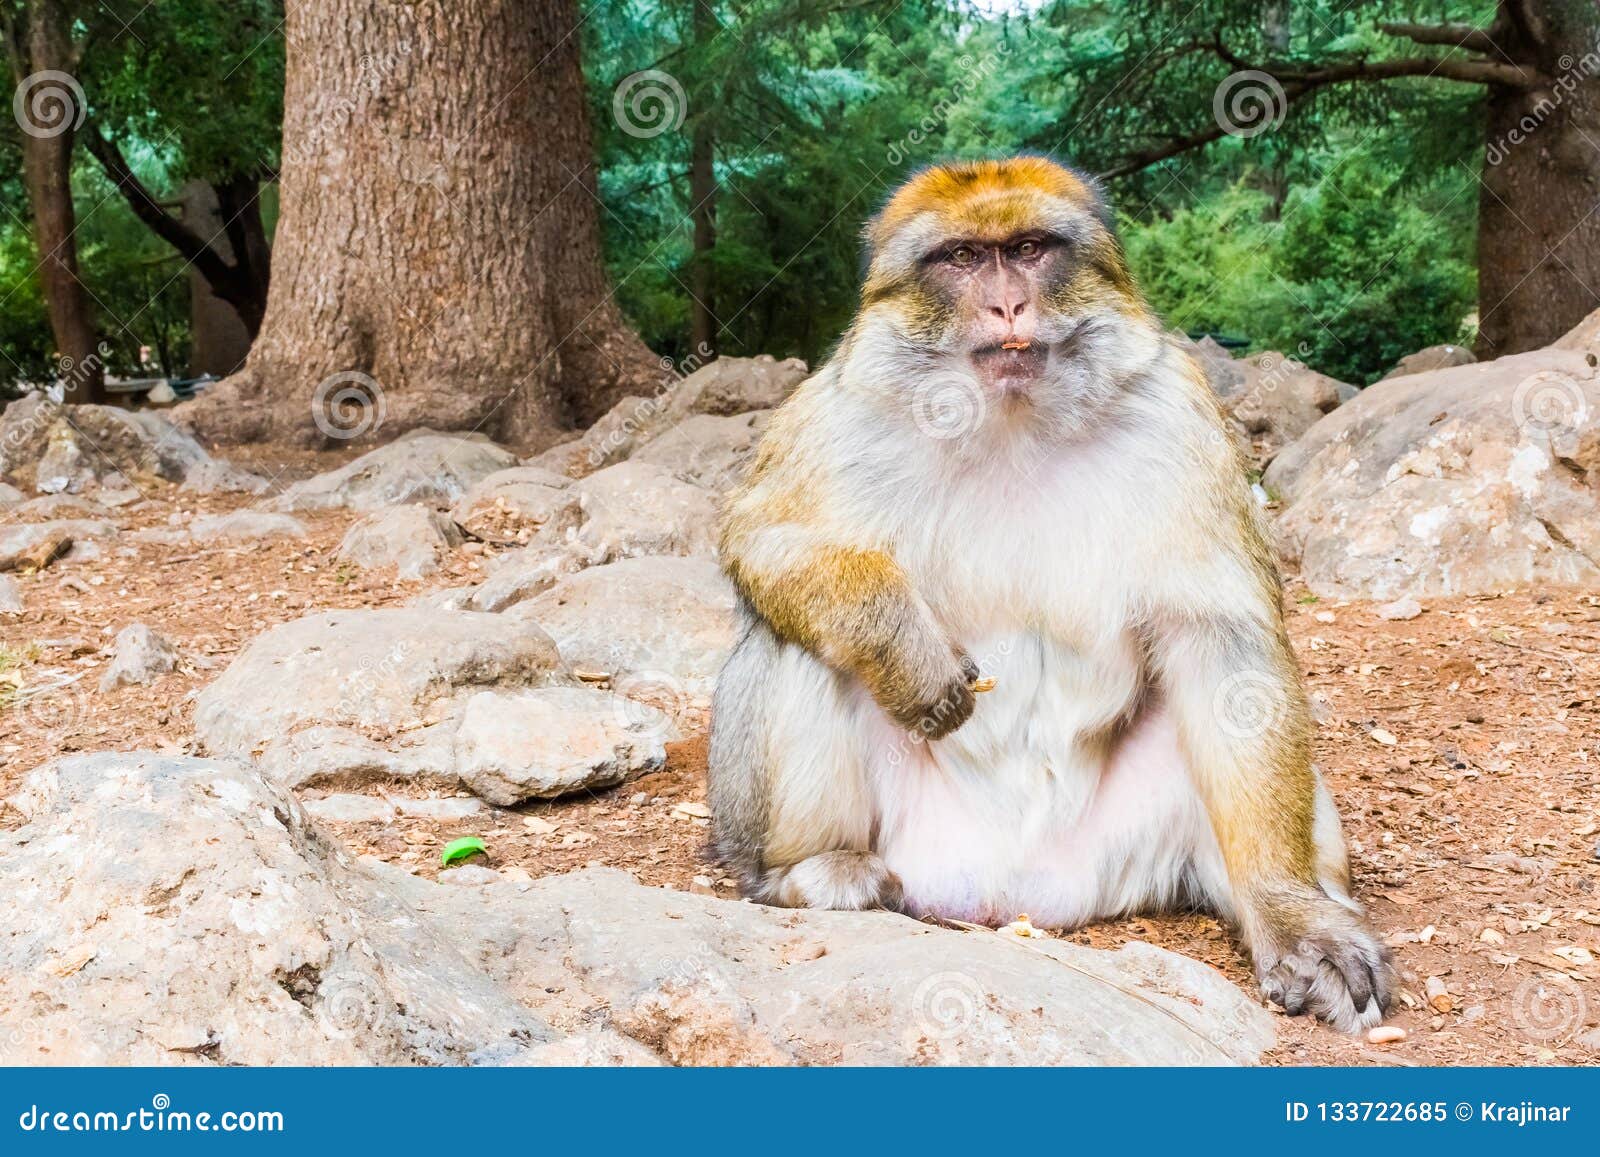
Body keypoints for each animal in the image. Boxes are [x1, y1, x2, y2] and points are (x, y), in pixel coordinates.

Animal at [707, 156, 1393, 1033]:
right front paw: (904, 643)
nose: (1007, 304)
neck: (1012, 421)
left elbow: (1226, 646)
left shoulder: (1178, 414)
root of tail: (1013, 896)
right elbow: (763, 538)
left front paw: (1291, 910)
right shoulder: (842, 408)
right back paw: (809, 869)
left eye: (1030, 249)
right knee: (789, 635)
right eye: (964, 258)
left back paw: (1281, 895)